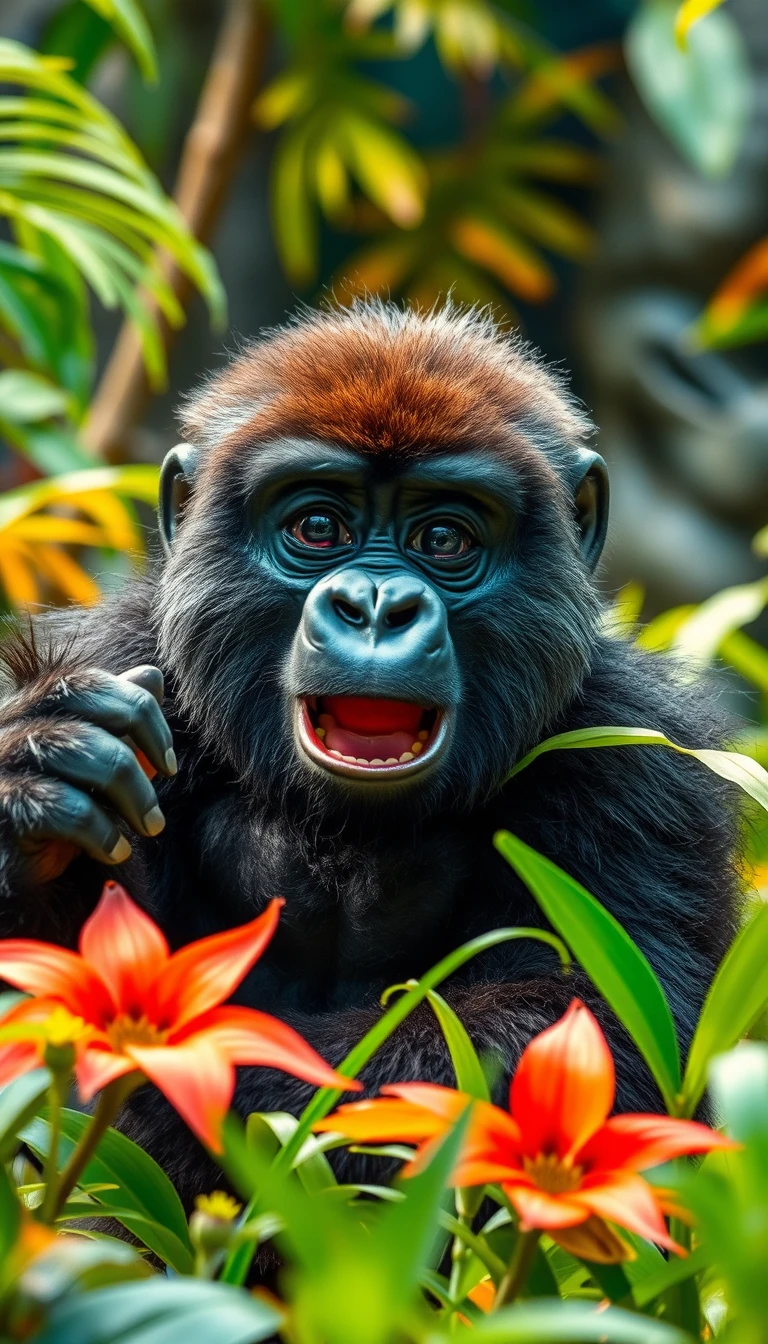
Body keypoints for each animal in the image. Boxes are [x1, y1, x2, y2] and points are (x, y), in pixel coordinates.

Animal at [0, 301, 740, 1207]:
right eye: (319, 527)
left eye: (445, 538)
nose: (378, 606)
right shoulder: (114, 653)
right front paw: (37, 783)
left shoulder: (640, 760)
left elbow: (600, 1043)